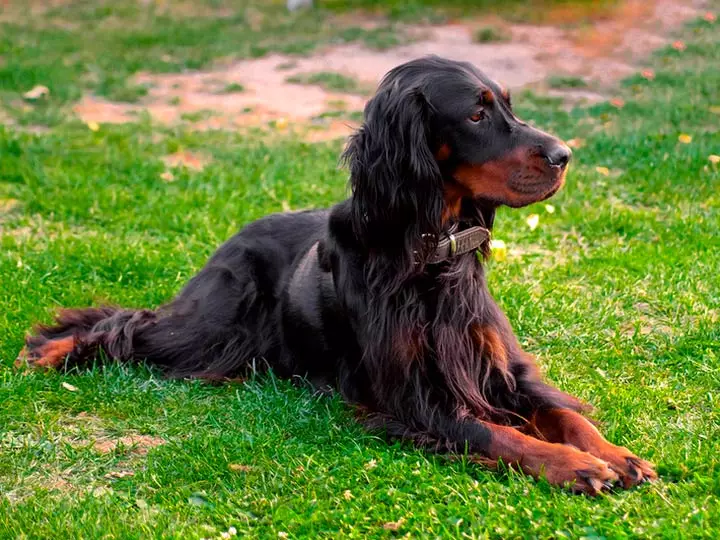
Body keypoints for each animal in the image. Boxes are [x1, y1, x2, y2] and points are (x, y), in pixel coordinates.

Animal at [16, 57, 660, 496]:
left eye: (506, 103)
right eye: (477, 114)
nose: (564, 154)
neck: (427, 249)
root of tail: (233, 235)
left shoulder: (496, 365)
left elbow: (561, 413)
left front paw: (614, 454)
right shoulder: (412, 397)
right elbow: (497, 433)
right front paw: (575, 466)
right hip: (209, 328)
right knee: (126, 324)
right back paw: (45, 351)